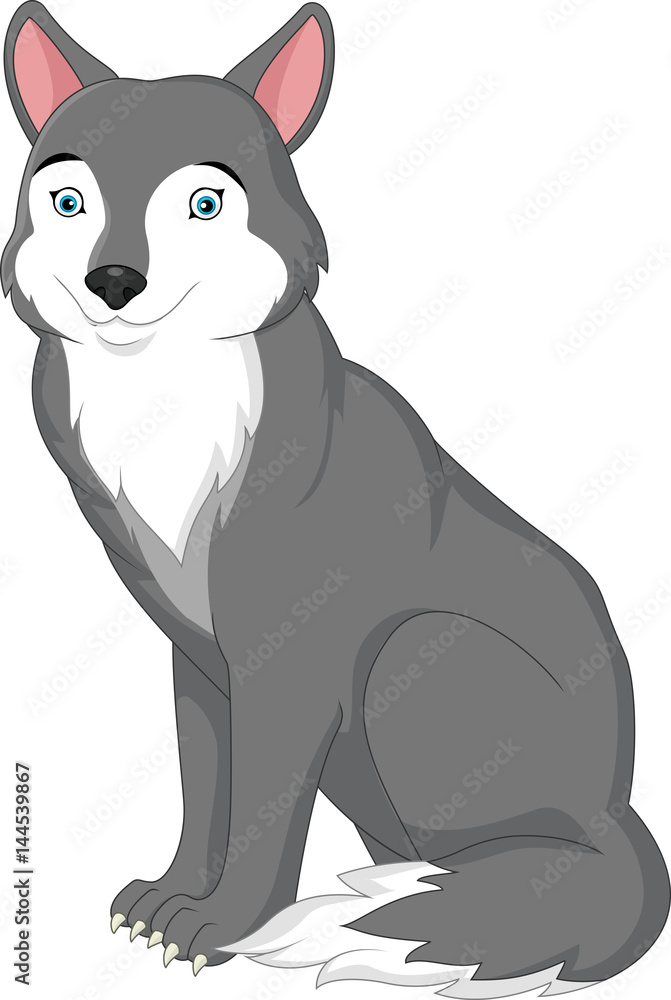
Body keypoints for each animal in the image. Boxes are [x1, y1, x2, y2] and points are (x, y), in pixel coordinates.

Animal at [3, 1, 669, 993]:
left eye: (205, 205)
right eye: (69, 202)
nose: (113, 283)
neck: (168, 420)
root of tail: (616, 820)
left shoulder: (292, 658)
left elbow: (262, 816)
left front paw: (224, 927)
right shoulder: (200, 659)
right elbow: (206, 795)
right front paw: (172, 899)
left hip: (413, 652)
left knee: (518, 869)